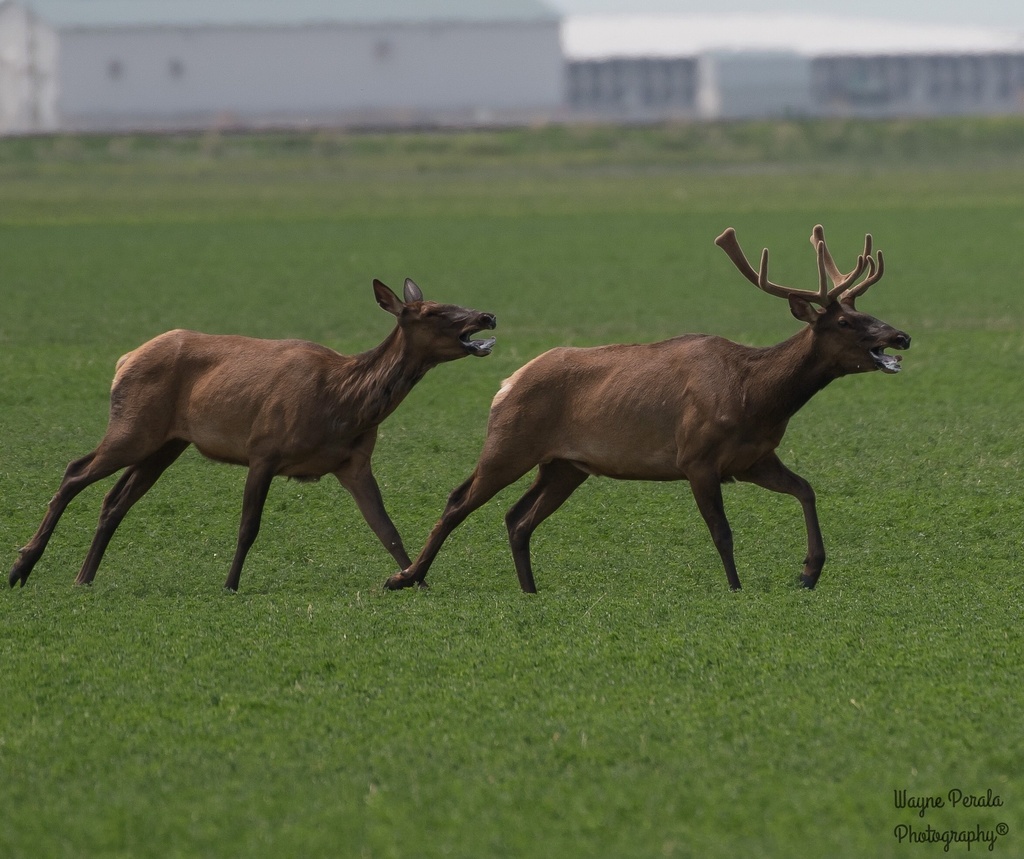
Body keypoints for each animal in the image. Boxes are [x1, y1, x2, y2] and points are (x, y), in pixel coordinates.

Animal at [8, 278, 496, 592]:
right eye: (433, 311)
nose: (488, 315)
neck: (343, 403)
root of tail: (123, 360)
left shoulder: (354, 462)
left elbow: (387, 528)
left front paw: (414, 581)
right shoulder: (264, 448)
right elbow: (248, 527)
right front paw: (230, 585)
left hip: (166, 443)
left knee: (114, 500)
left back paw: (83, 577)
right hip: (132, 425)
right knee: (75, 471)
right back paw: (21, 568)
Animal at [385, 225, 909, 594]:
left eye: (867, 312)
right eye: (845, 321)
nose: (900, 336)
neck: (754, 397)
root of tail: (506, 383)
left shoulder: (754, 458)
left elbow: (806, 490)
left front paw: (808, 572)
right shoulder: (696, 457)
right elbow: (722, 532)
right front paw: (737, 589)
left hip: (564, 465)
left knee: (518, 518)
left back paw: (529, 591)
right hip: (509, 441)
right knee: (459, 500)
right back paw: (406, 578)